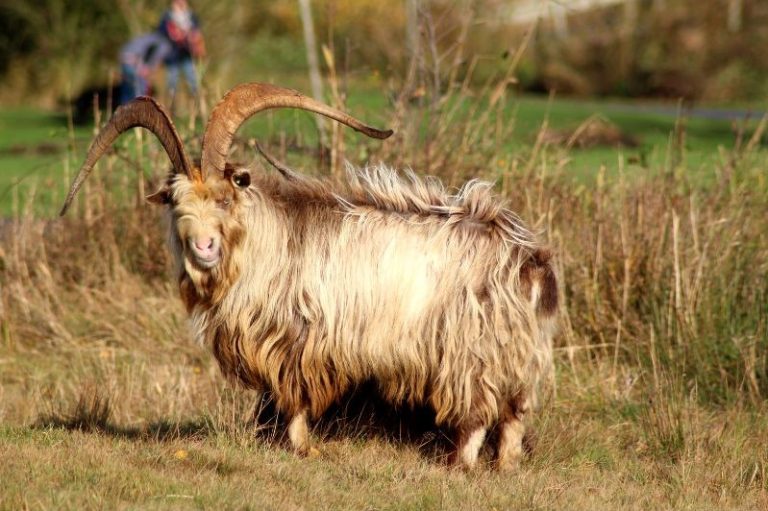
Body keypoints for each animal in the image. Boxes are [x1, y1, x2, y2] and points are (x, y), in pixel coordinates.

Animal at [60, 83, 558, 470]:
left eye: (224, 198)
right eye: (177, 204)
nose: (203, 247)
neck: (264, 242)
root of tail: (527, 258)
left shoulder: (299, 338)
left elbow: (294, 394)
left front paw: (301, 448)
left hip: (472, 348)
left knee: (477, 412)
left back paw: (459, 465)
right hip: (512, 351)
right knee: (513, 413)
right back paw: (505, 466)